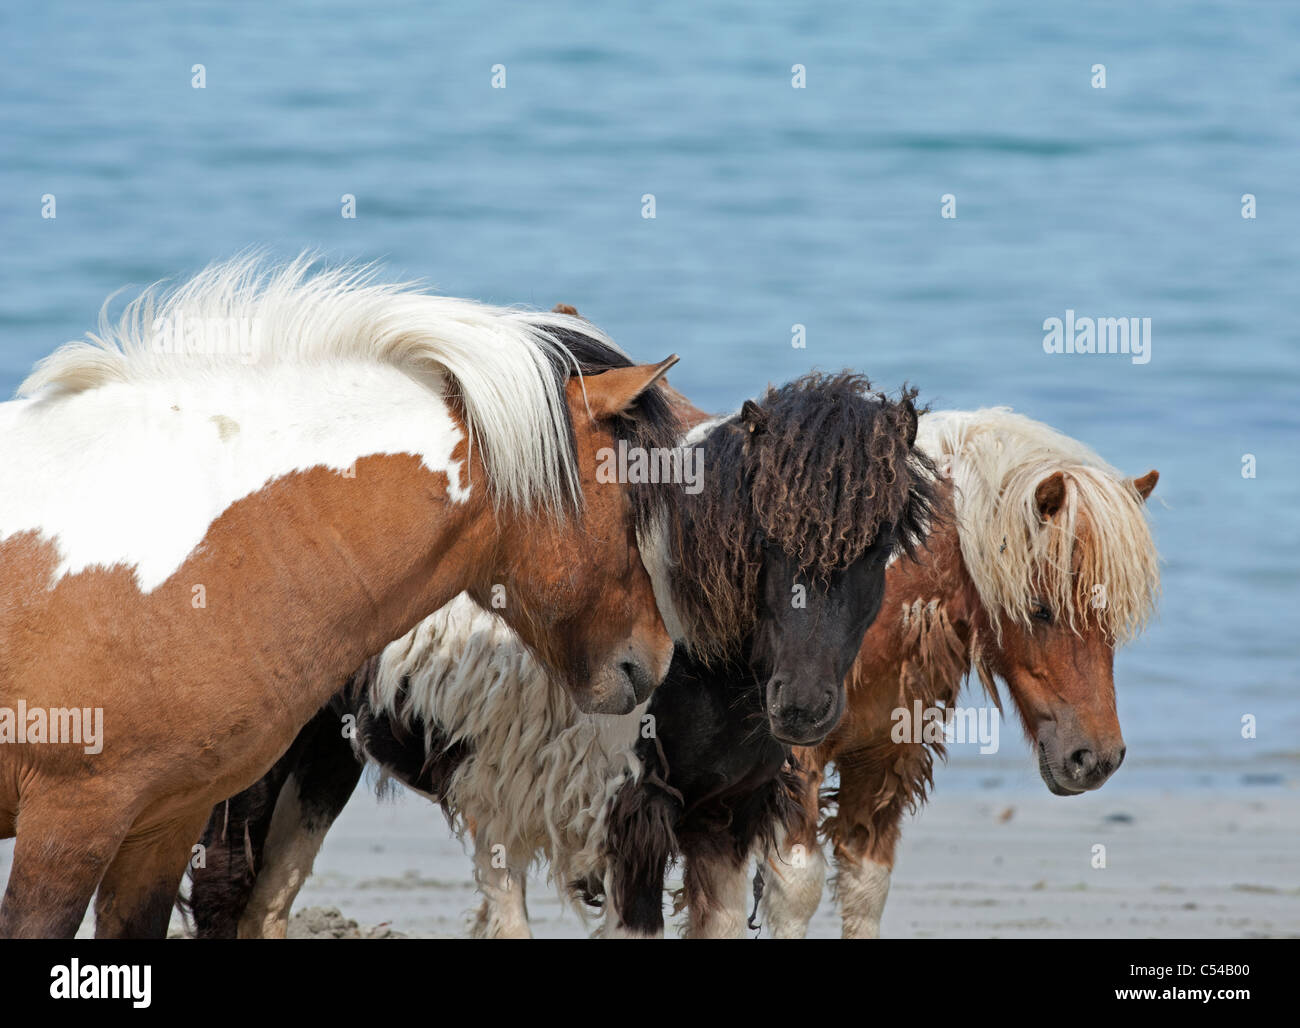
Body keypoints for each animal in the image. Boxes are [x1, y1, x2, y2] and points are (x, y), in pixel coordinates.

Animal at [186, 370, 940, 938]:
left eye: (880, 543)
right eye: (764, 541)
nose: (803, 707)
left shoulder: (724, 822)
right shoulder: (631, 826)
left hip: (325, 756)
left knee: (267, 905)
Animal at [745, 407, 1161, 937]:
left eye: (1110, 620)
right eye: (1040, 608)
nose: (1097, 758)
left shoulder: (883, 759)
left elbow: (865, 887)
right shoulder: (796, 760)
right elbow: (791, 892)